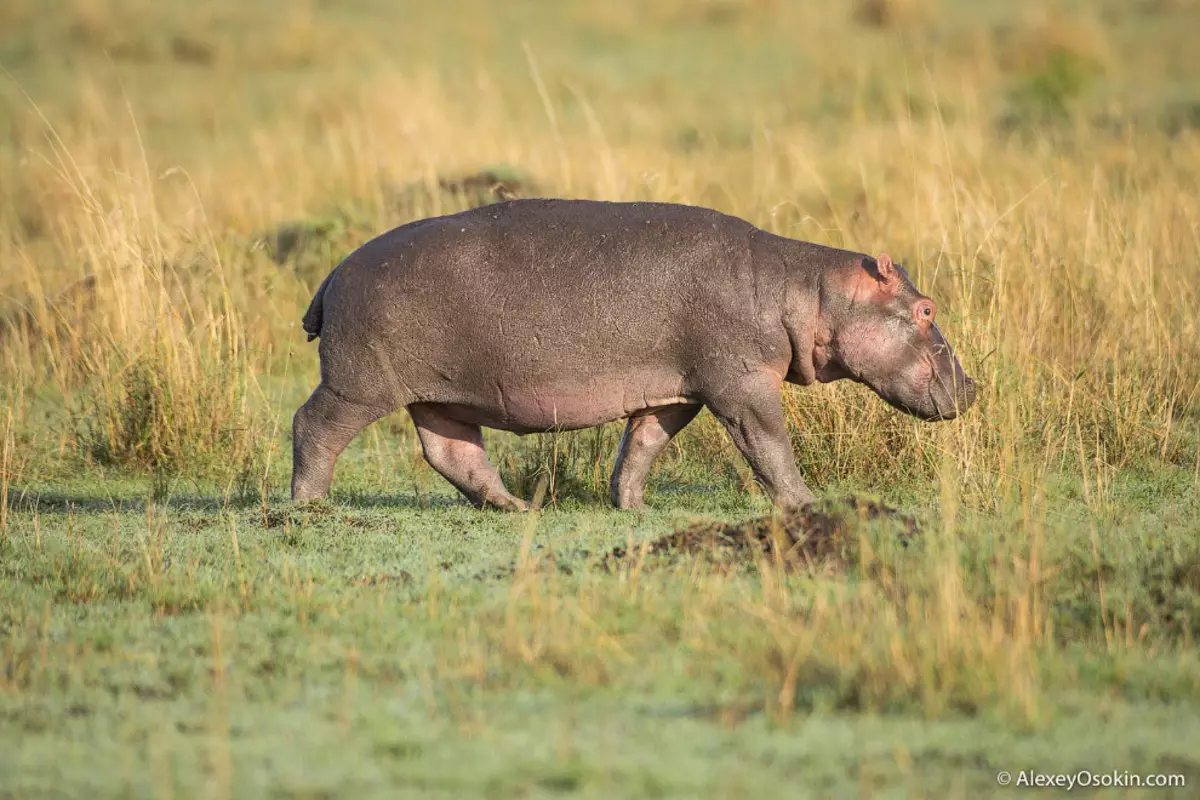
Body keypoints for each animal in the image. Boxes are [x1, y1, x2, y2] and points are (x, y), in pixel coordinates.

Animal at [290, 201, 974, 513]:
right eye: (927, 310)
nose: (971, 388)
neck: (806, 291)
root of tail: (332, 273)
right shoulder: (739, 383)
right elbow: (767, 442)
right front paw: (807, 503)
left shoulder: (677, 390)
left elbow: (644, 443)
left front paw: (634, 505)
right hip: (360, 383)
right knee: (314, 425)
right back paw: (309, 504)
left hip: (440, 392)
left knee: (452, 451)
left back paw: (517, 508)